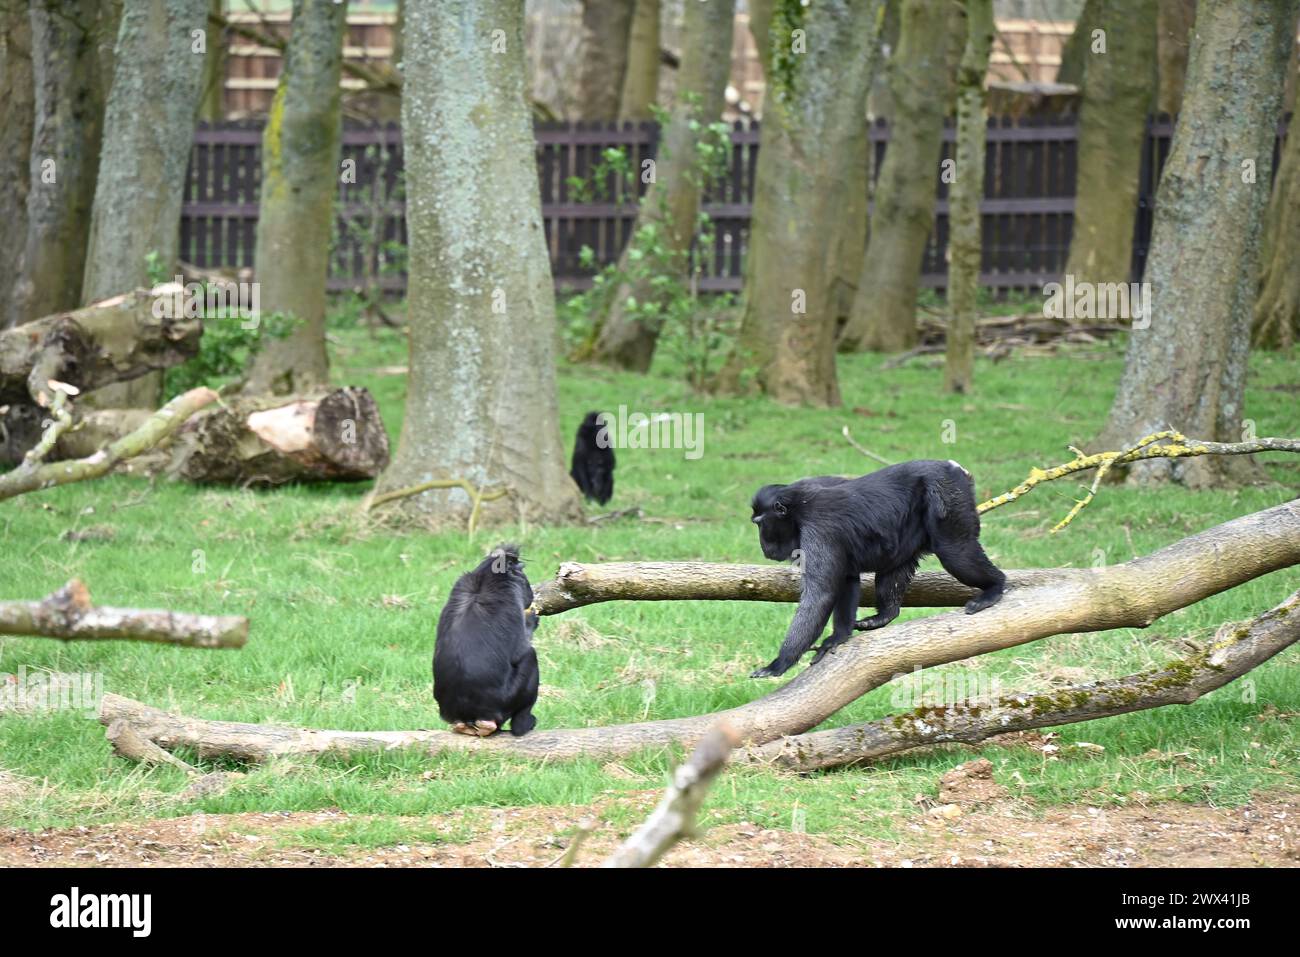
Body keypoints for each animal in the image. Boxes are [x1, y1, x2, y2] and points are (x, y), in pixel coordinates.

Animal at [432, 544, 539, 736]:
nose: (531, 592)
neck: (484, 578)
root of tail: (471, 717)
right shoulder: (511, 593)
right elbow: (520, 648)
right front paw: (531, 619)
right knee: (529, 656)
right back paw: (523, 724)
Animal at [749, 460, 1006, 678]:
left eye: (760, 523)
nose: (762, 544)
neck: (797, 505)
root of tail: (953, 468)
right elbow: (847, 579)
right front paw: (839, 637)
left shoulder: (818, 530)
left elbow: (821, 594)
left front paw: (778, 664)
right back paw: (886, 614)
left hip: (948, 497)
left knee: (954, 550)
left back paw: (996, 586)